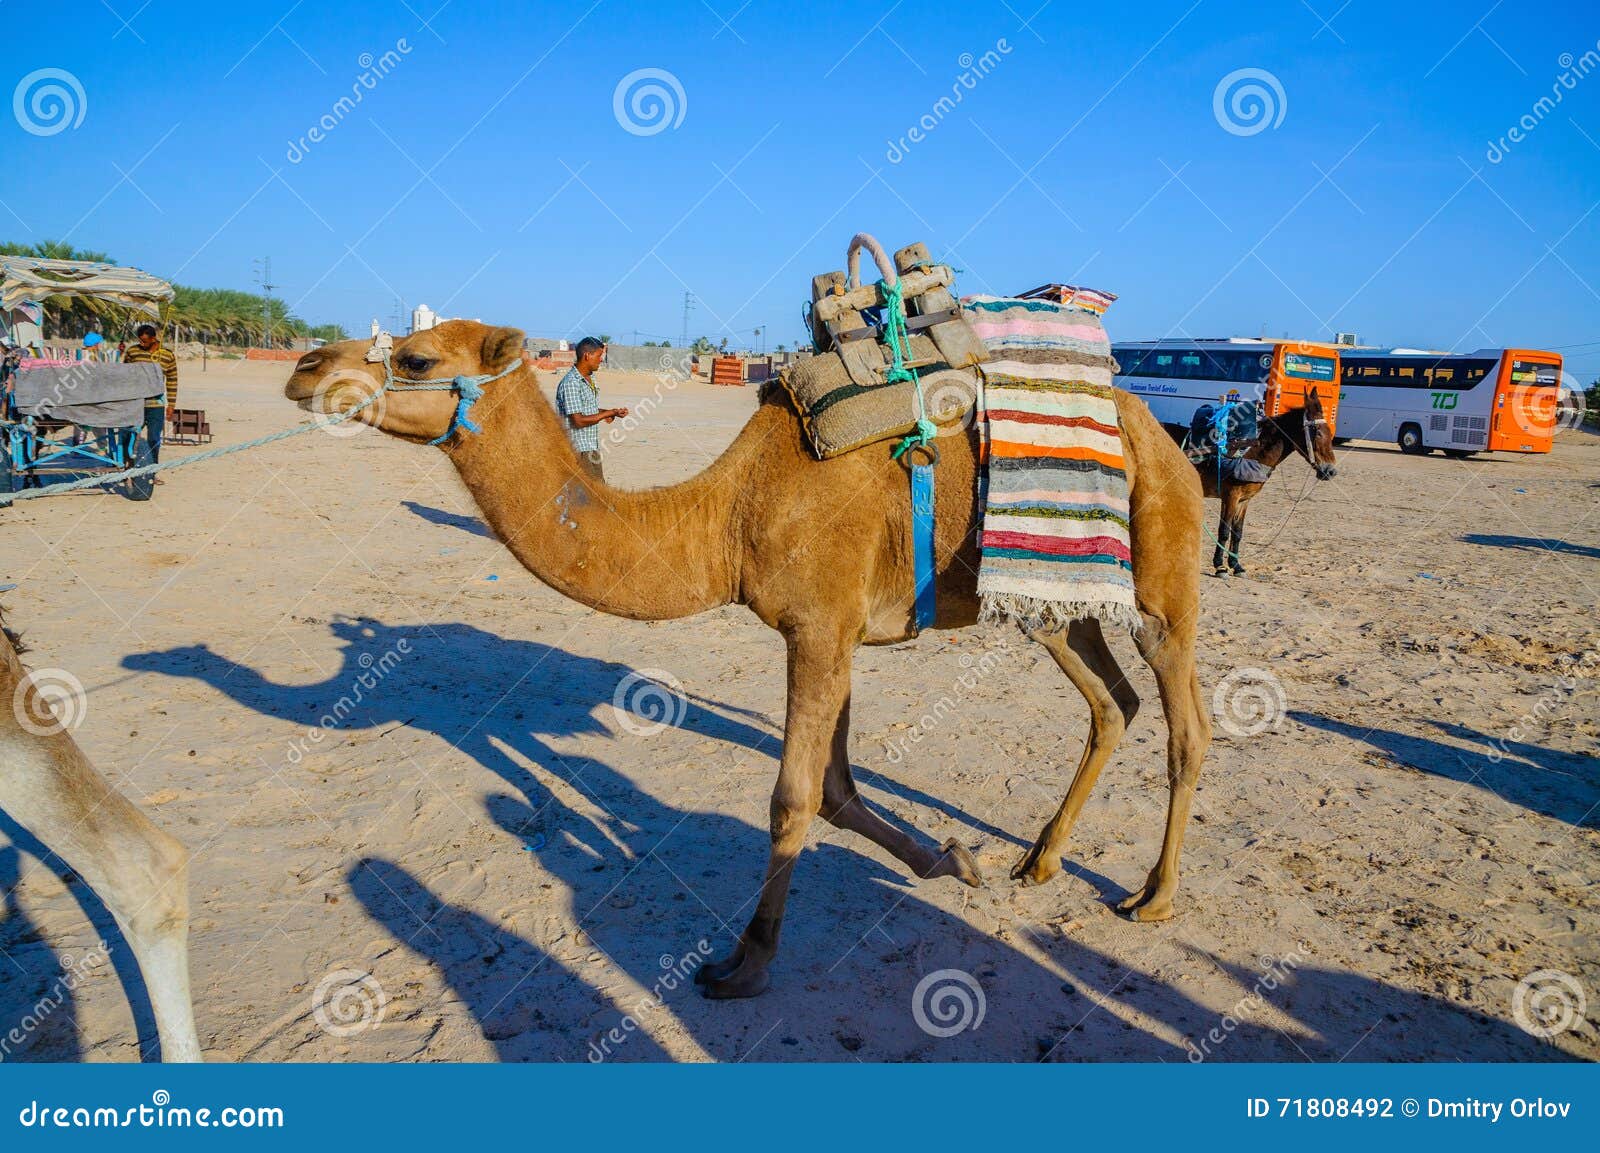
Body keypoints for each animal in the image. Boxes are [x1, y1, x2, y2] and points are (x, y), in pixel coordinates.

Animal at [286, 322, 1210, 999]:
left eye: (414, 356)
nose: (304, 365)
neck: (727, 515)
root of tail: (1167, 441)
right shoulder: (833, 631)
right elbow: (837, 791)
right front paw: (954, 859)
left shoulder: (818, 626)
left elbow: (792, 798)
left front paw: (744, 961)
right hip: (1053, 601)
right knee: (1111, 702)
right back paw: (1040, 859)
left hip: (1160, 565)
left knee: (1185, 720)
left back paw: (1154, 897)